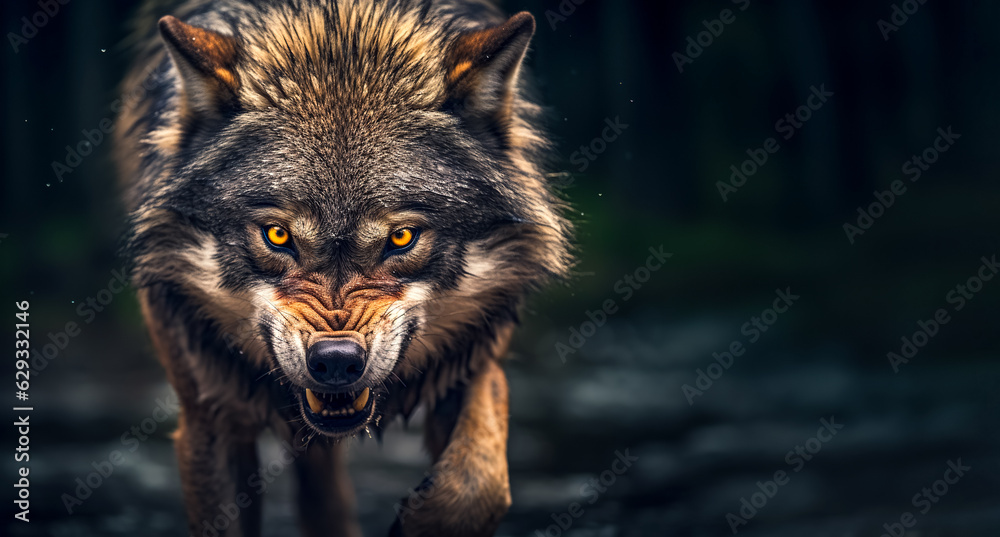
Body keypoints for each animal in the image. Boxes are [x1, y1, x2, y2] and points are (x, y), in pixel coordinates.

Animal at [113, 0, 571, 536]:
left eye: (401, 238)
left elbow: (477, 485)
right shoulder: (208, 416)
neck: (339, 24)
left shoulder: (476, 358)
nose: (335, 361)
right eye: (277, 235)